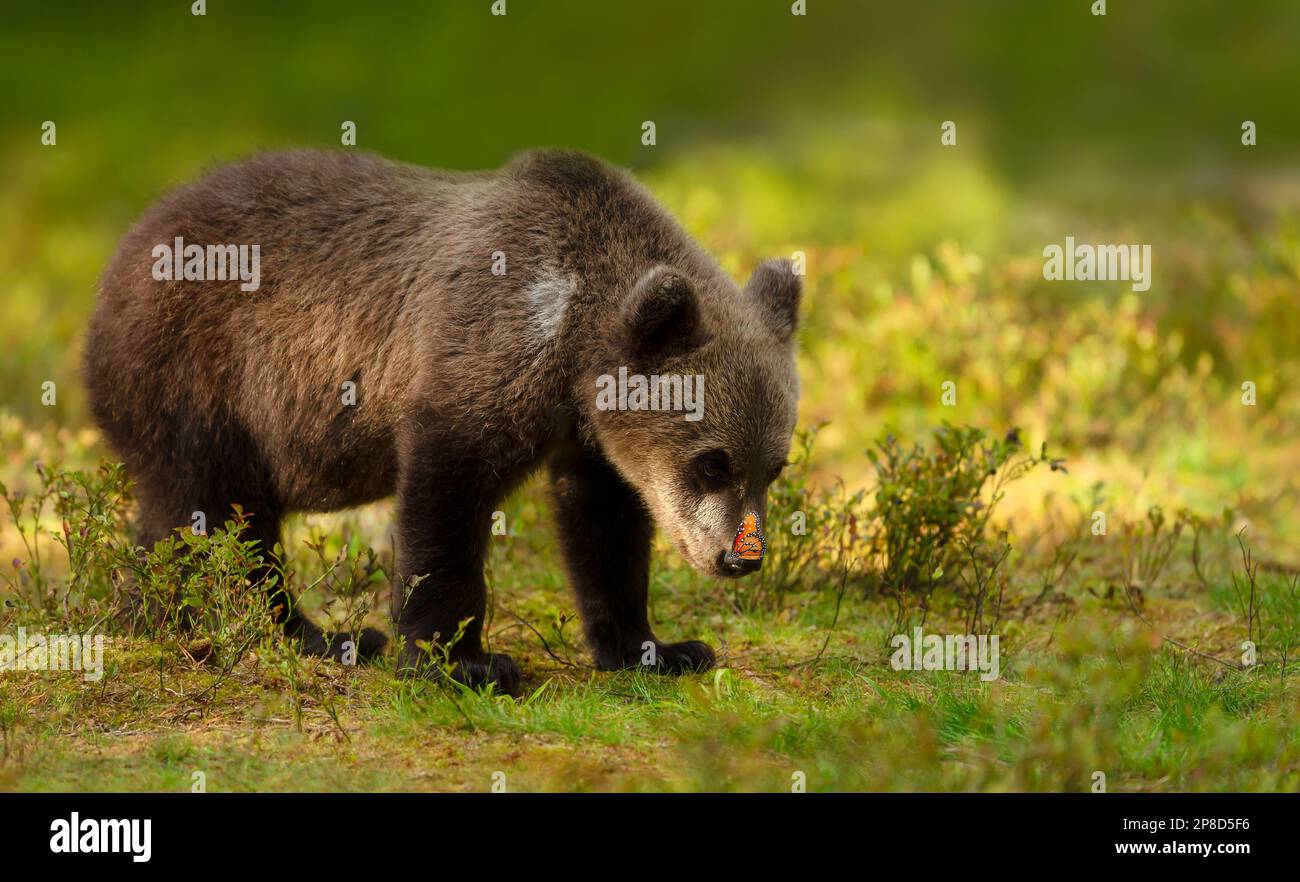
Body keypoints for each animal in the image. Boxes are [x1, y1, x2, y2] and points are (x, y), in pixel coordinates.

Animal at [84, 148, 802, 696]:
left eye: (775, 466)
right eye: (711, 462)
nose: (741, 557)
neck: (570, 341)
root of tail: (120, 256)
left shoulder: (593, 436)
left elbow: (604, 527)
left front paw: (661, 649)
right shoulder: (479, 357)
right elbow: (444, 507)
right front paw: (465, 662)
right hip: (204, 382)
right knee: (221, 516)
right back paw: (317, 634)